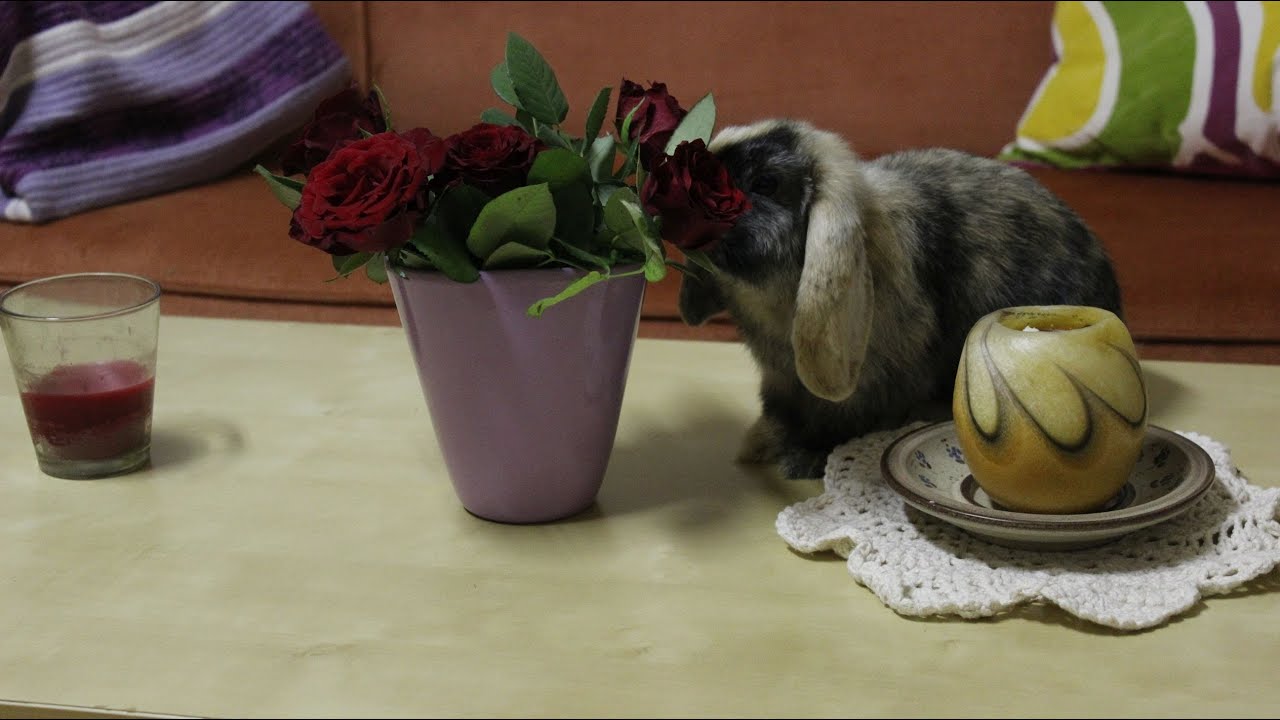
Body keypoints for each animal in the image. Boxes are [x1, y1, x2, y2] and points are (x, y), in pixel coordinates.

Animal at [678, 118, 1124, 479]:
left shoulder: (867, 385)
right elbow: (779, 412)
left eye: (766, 183)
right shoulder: (779, 380)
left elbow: (839, 423)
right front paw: (757, 446)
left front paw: (803, 460)